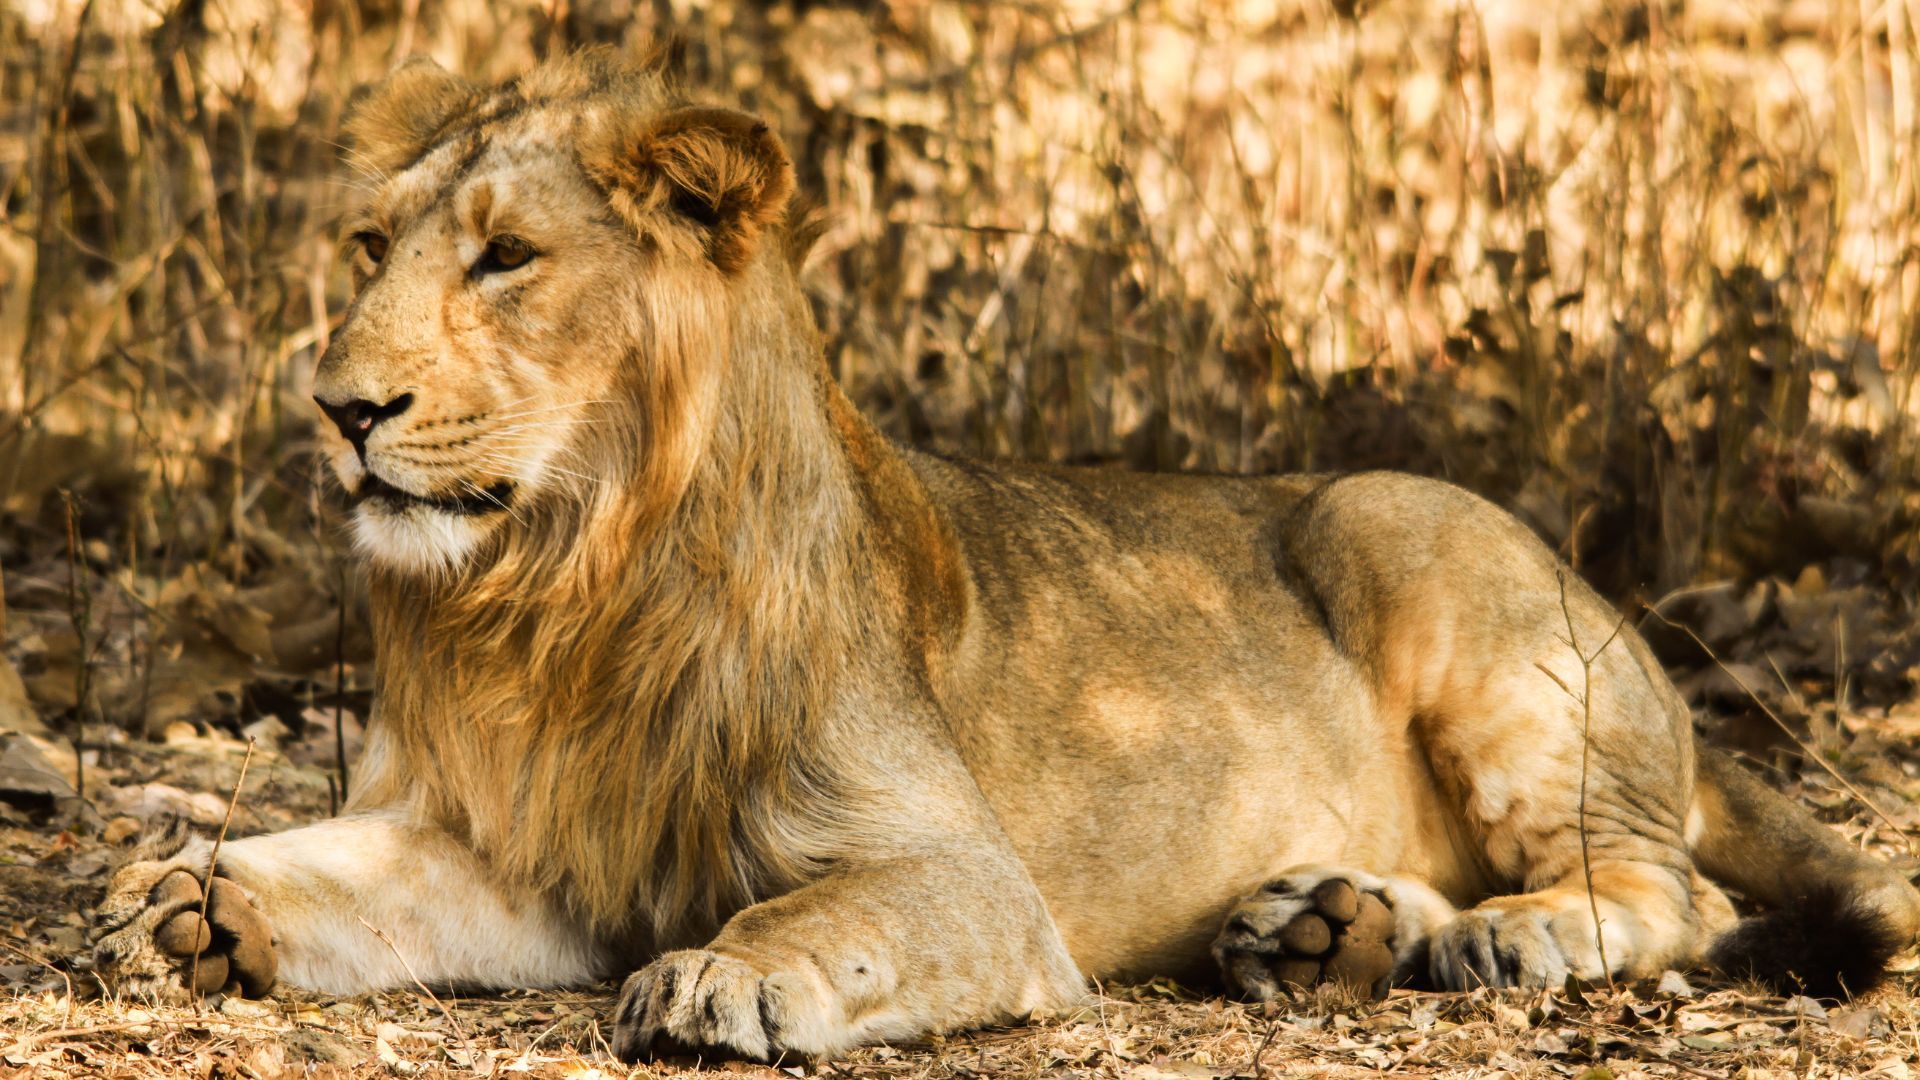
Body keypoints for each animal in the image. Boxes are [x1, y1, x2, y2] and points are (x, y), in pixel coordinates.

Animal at [90, 49, 1919, 1061]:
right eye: (370, 249)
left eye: (507, 259)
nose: (338, 407)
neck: (564, 588)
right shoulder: (521, 849)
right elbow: (351, 875)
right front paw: (196, 899)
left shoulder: (964, 875)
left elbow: (811, 914)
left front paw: (722, 982)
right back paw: (1326, 930)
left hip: (1416, 544)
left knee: (1670, 882)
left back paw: (1495, 940)